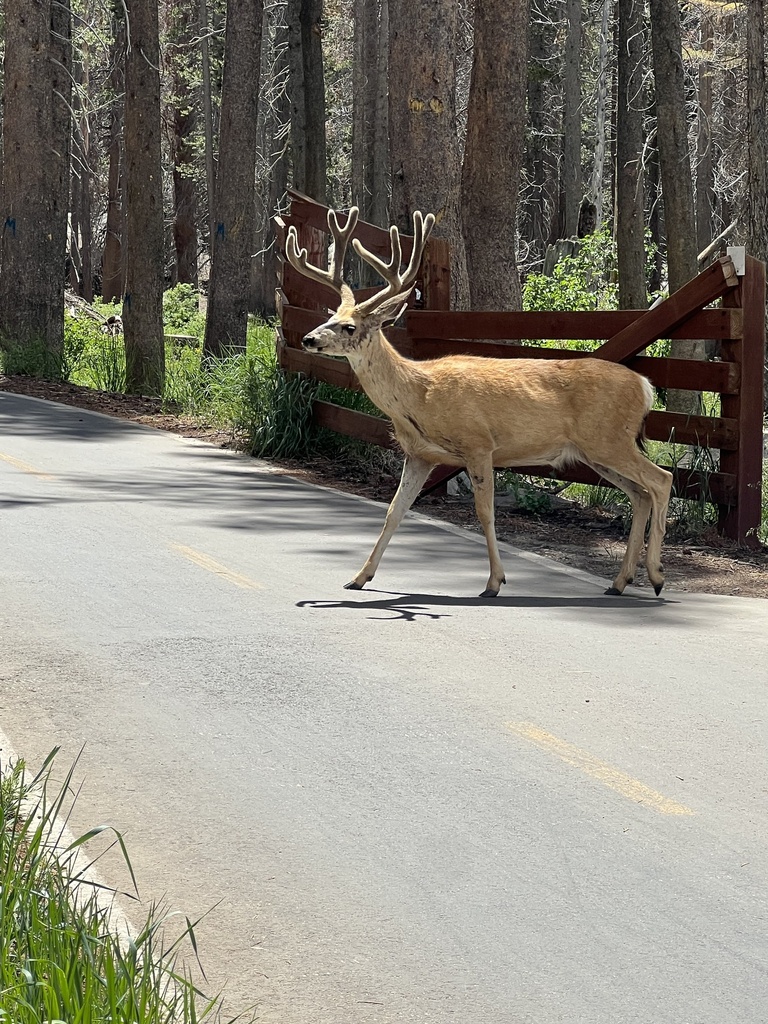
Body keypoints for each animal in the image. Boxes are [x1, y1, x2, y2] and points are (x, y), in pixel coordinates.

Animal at [285, 206, 673, 599]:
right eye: (331, 316)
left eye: (349, 327)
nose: (309, 338)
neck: (419, 394)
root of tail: (645, 386)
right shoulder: (420, 454)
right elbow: (394, 510)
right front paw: (359, 576)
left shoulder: (478, 444)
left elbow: (485, 512)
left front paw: (494, 581)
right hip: (594, 452)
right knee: (640, 494)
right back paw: (620, 582)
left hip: (609, 439)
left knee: (662, 479)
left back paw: (656, 576)